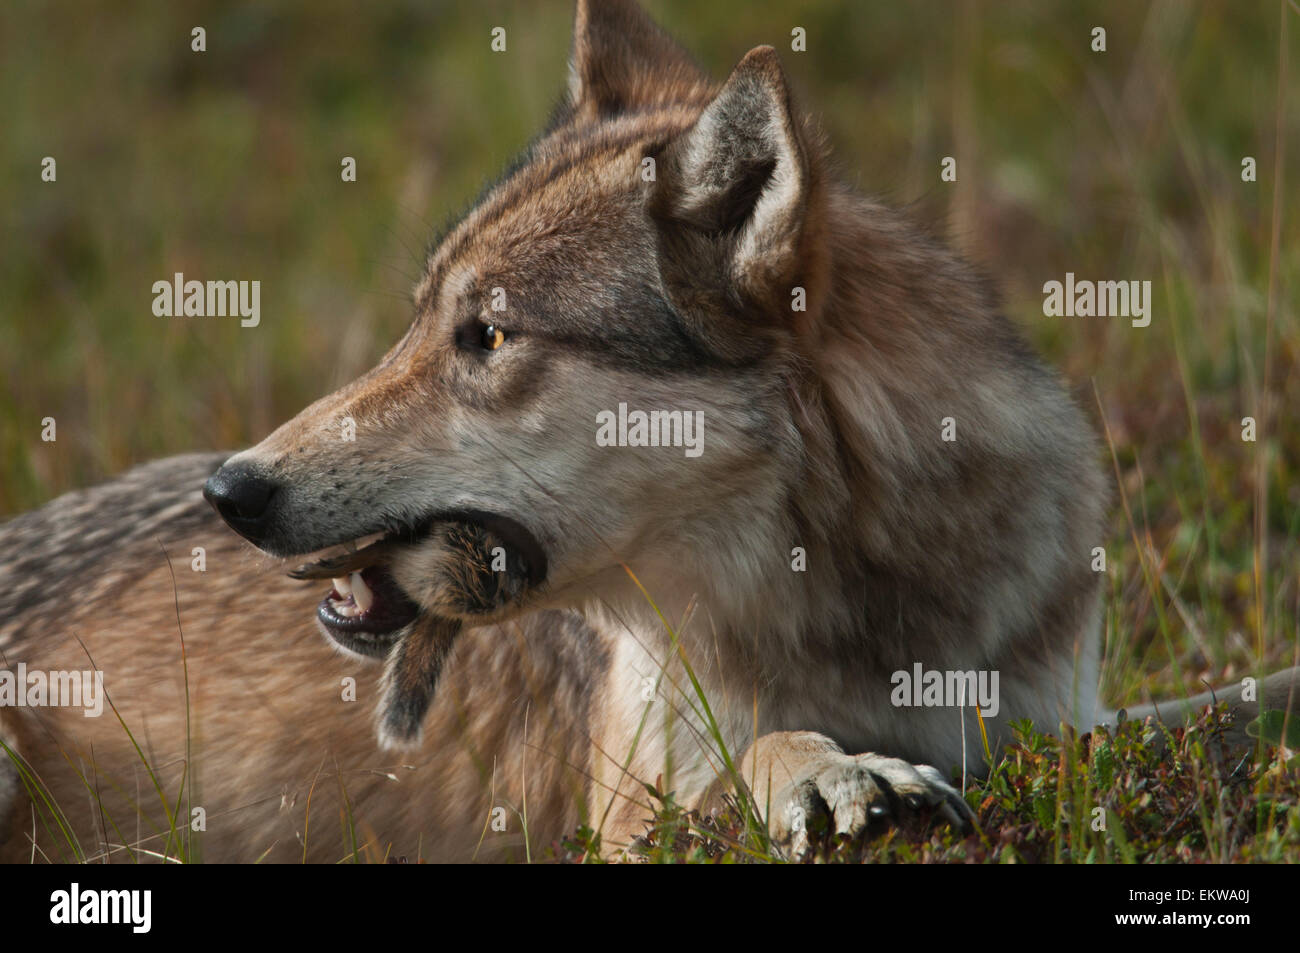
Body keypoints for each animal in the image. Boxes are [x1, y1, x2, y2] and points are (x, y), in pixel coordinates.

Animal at [2, 0, 1296, 863]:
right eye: (420, 321)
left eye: (485, 334)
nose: (230, 491)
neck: (856, 601)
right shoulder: (625, 808)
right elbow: (753, 755)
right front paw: (830, 771)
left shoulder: (1067, 727)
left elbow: (1239, 704)